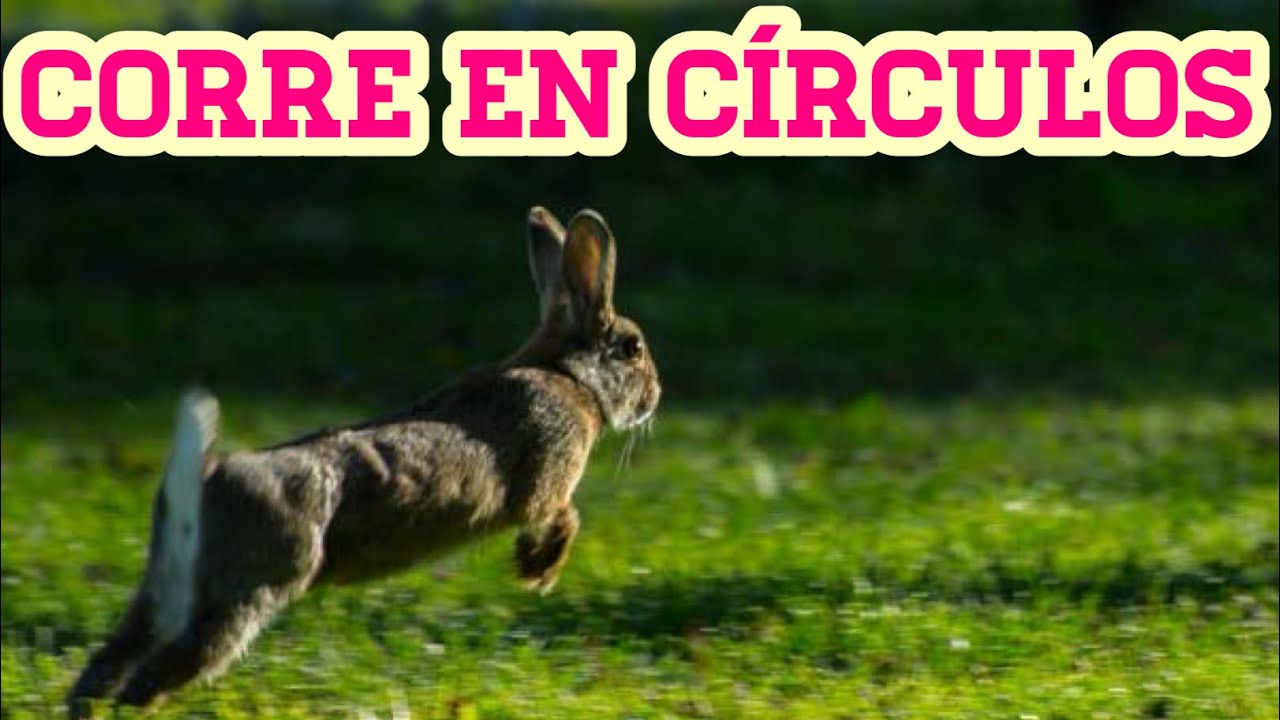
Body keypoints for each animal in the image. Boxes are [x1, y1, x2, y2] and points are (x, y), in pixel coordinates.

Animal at [66, 207, 661, 718]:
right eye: (632, 348)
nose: (655, 396)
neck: (569, 374)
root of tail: (201, 479)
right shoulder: (544, 475)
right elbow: (561, 513)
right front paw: (537, 571)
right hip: (252, 587)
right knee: (160, 670)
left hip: (166, 585)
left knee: (111, 660)